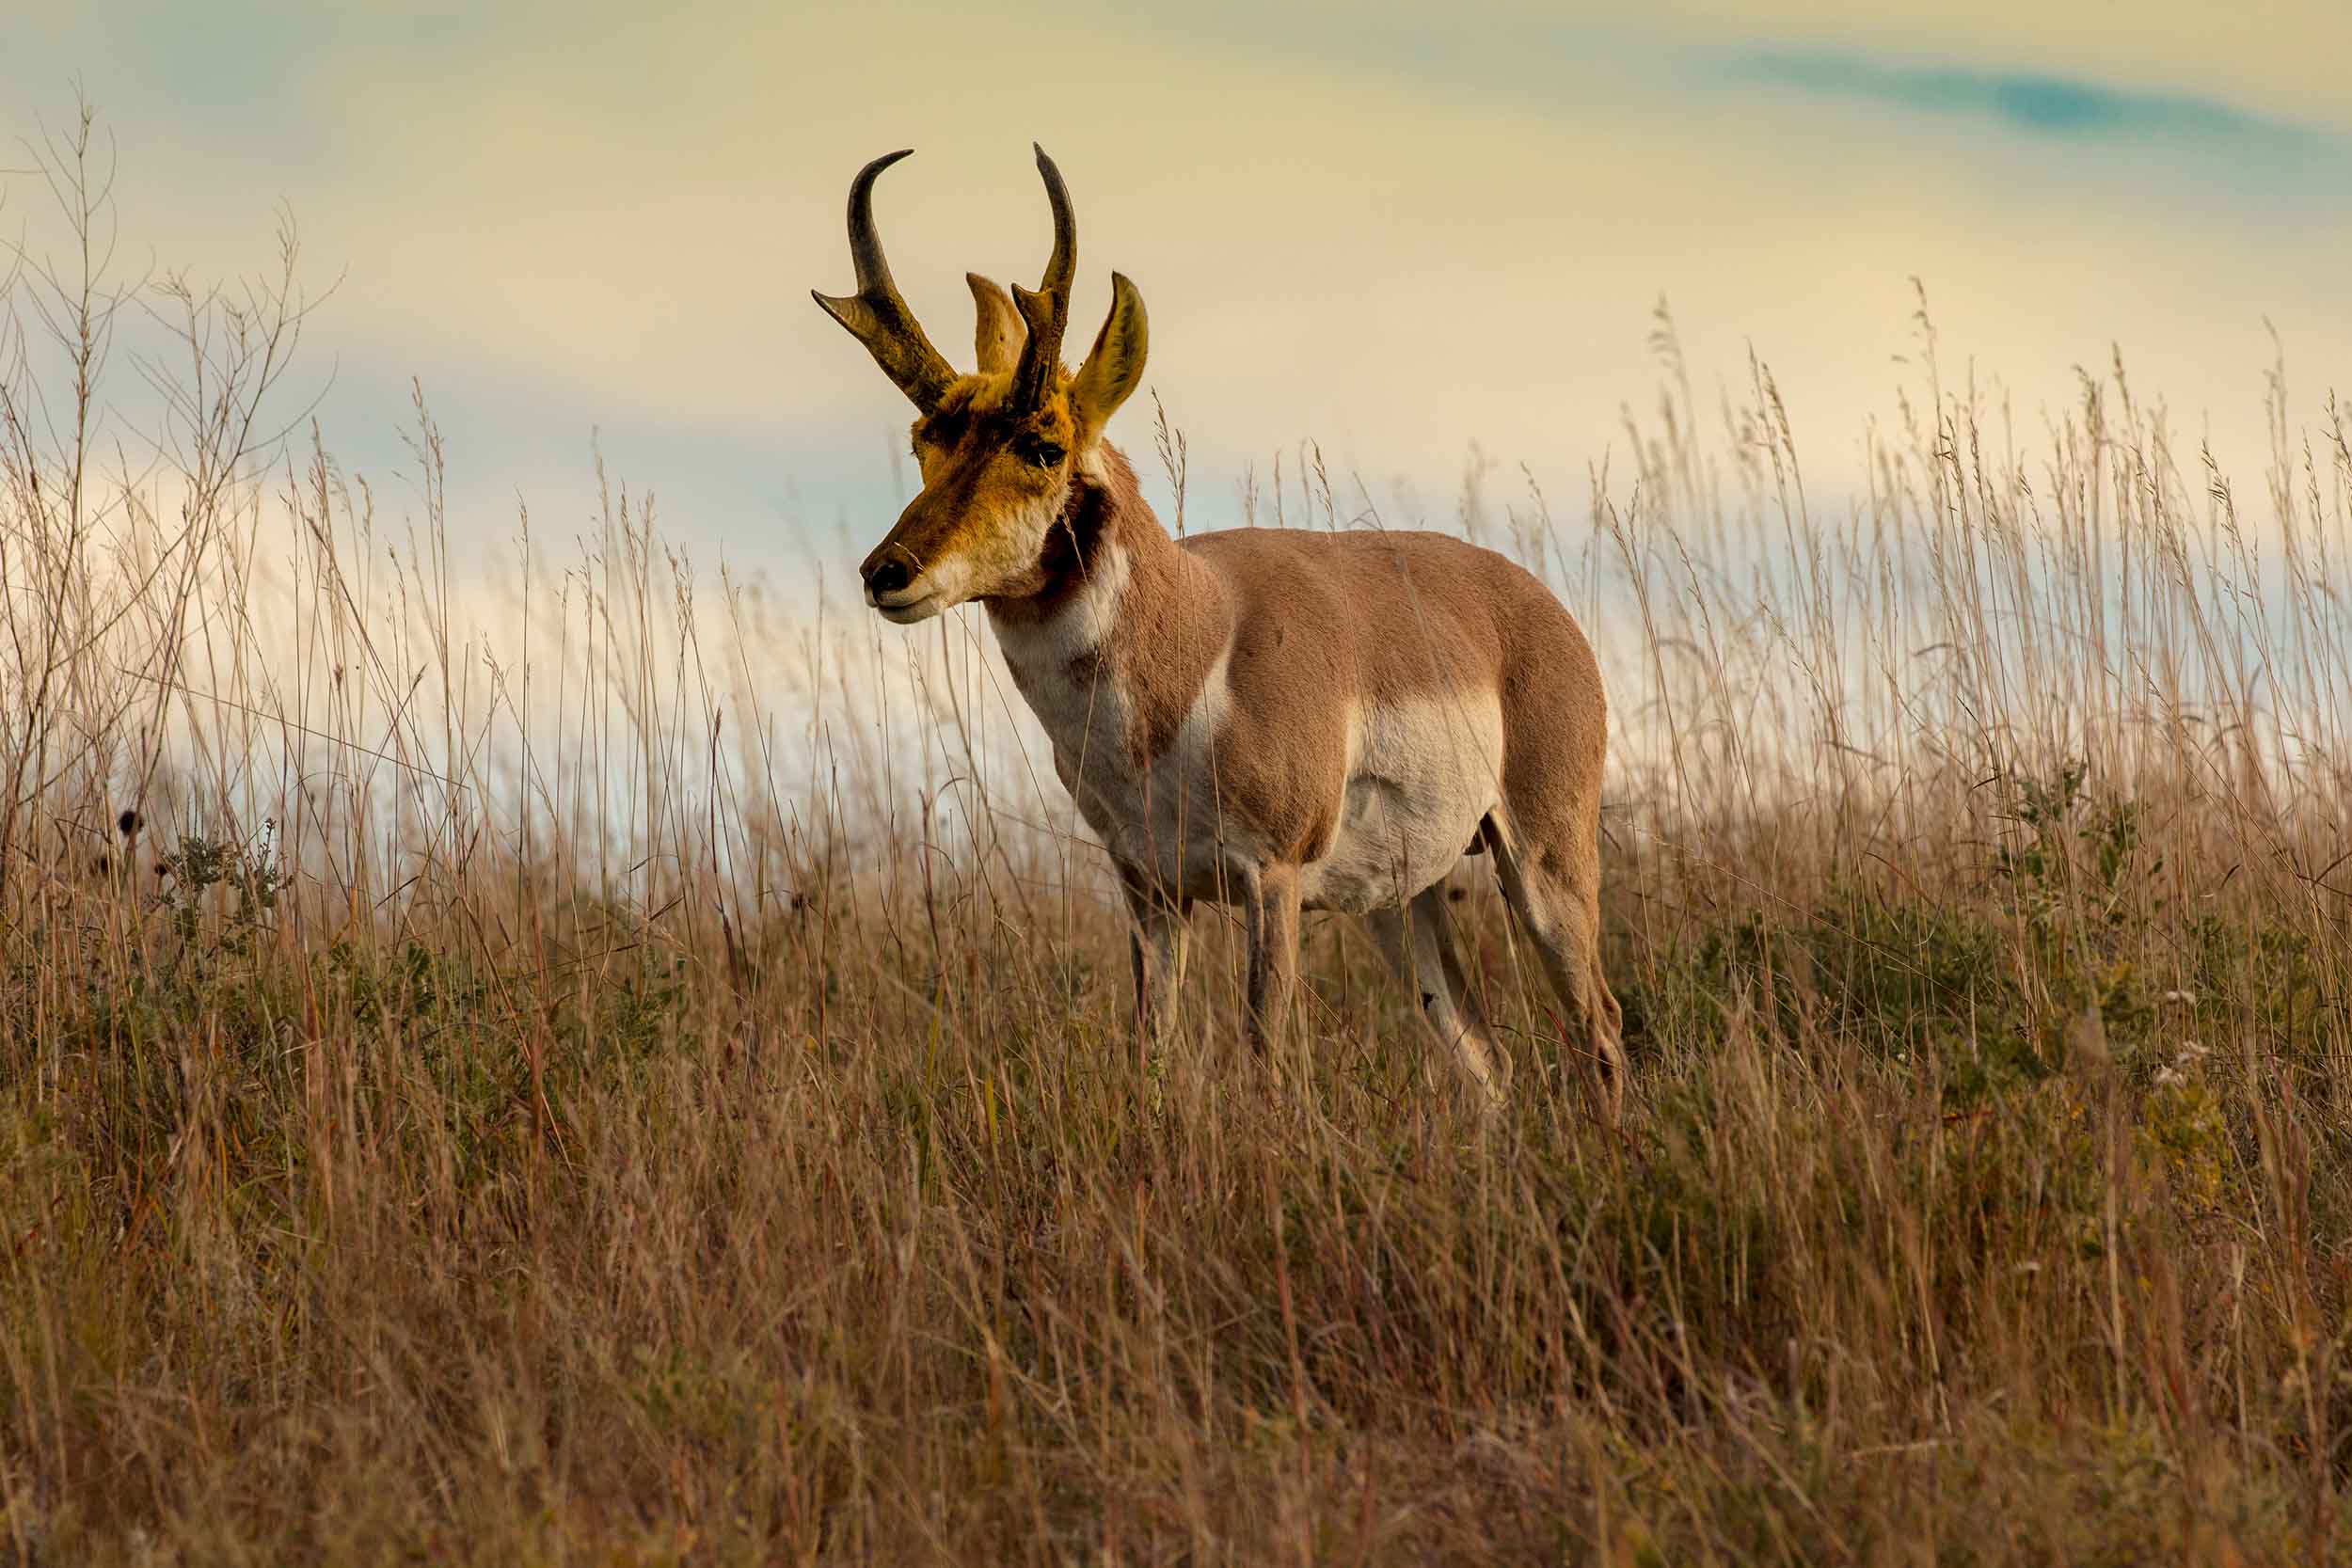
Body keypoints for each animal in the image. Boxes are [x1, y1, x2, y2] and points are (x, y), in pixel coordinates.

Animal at [815, 146, 1625, 1116]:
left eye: (1044, 445)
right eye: (924, 442)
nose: (886, 572)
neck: (1201, 635)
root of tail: (1535, 606)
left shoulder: (1271, 881)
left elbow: (1263, 1060)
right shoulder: (1151, 890)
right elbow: (1151, 1057)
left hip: (1542, 861)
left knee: (1600, 1028)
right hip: (1403, 902)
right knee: (1485, 1057)